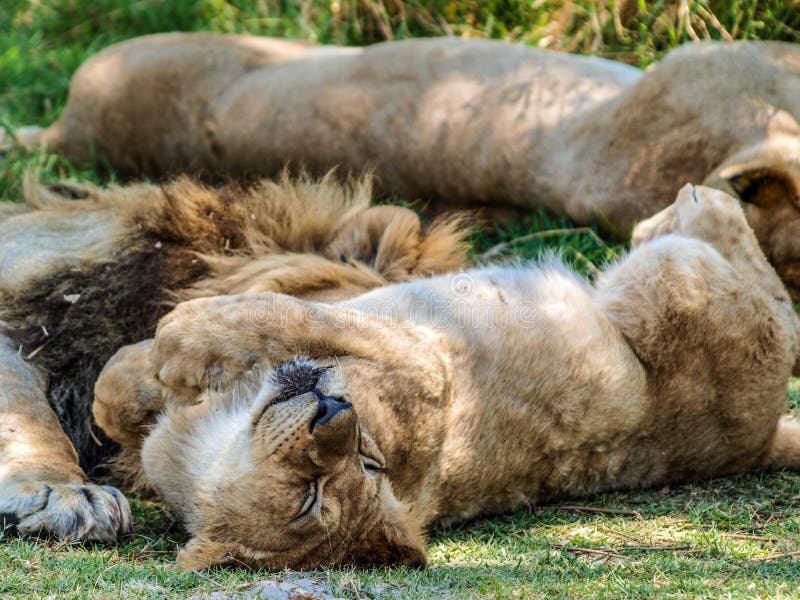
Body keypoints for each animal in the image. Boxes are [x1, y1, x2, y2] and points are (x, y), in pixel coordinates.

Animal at [83, 185, 800, 570]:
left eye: (368, 461)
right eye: (312, 497)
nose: (333, 412)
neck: (216, 437)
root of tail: (760, 440)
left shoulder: (423, 358)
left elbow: (277, 313)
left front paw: (172, 342)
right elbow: (112, 403)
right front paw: (145, 374)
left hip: (670, 276)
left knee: (770, 295)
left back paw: (696, 201)